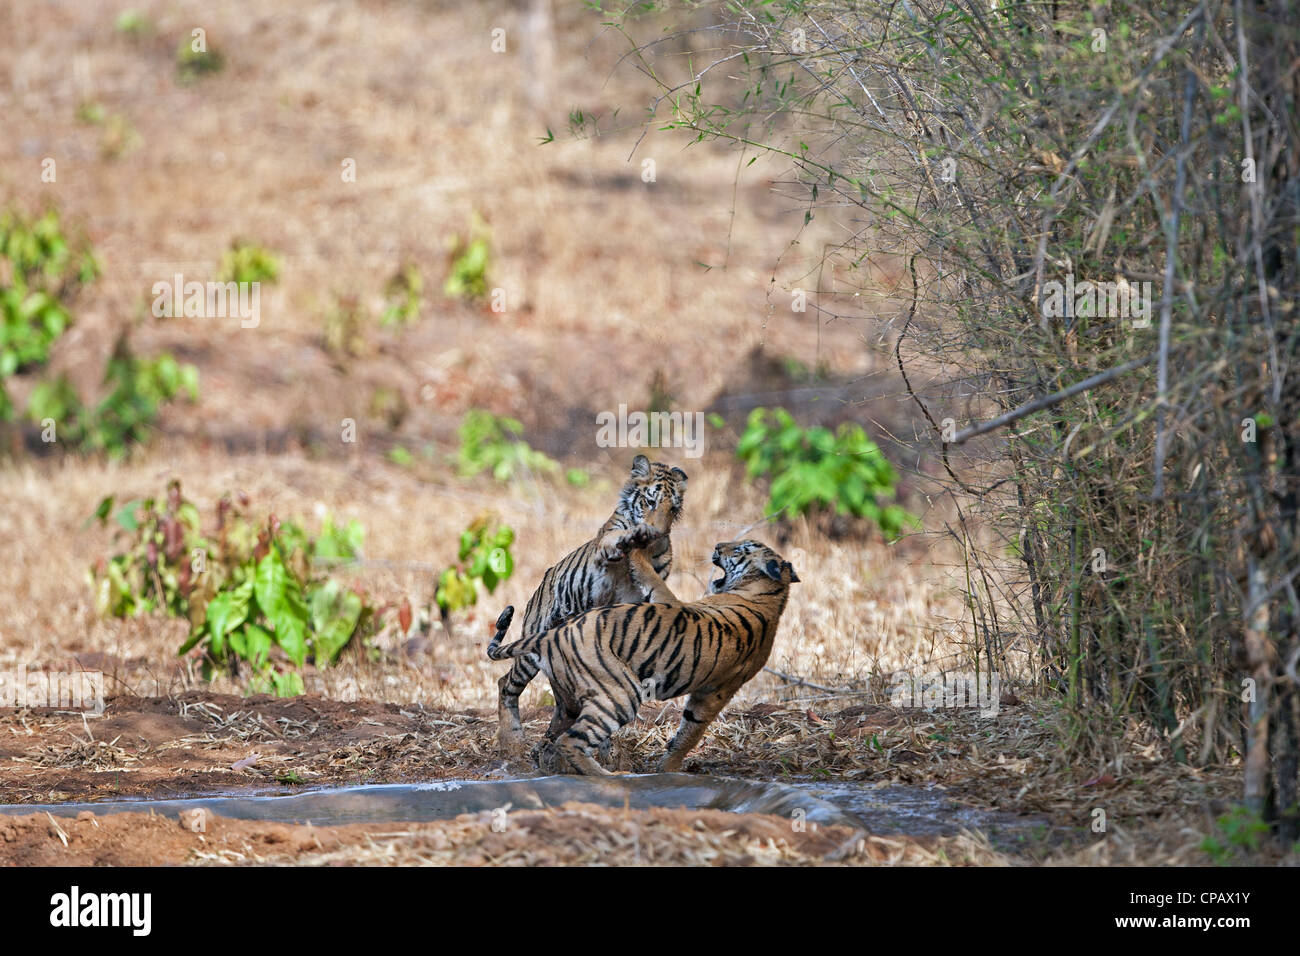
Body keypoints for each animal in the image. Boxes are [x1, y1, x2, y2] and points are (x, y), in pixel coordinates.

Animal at [487, 538, 800, 776]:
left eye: (739, 550)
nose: (718, 546)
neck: (773, 595)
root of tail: (553, 635)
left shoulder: (677, 607)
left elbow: (652, 578)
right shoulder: (713, 690)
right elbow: (690, 731)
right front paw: (669, 768)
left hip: (619, 695)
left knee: (568, 740)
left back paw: (607, 775)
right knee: (528, 706)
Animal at [492, 454, 688, 754]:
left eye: (674, 509)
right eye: (649, 501)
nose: (657, 534)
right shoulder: (604, 552)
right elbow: (615, 539)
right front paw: (631, 537)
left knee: (567, 707)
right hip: (530, 650)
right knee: (506, 684)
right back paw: (512, 740)